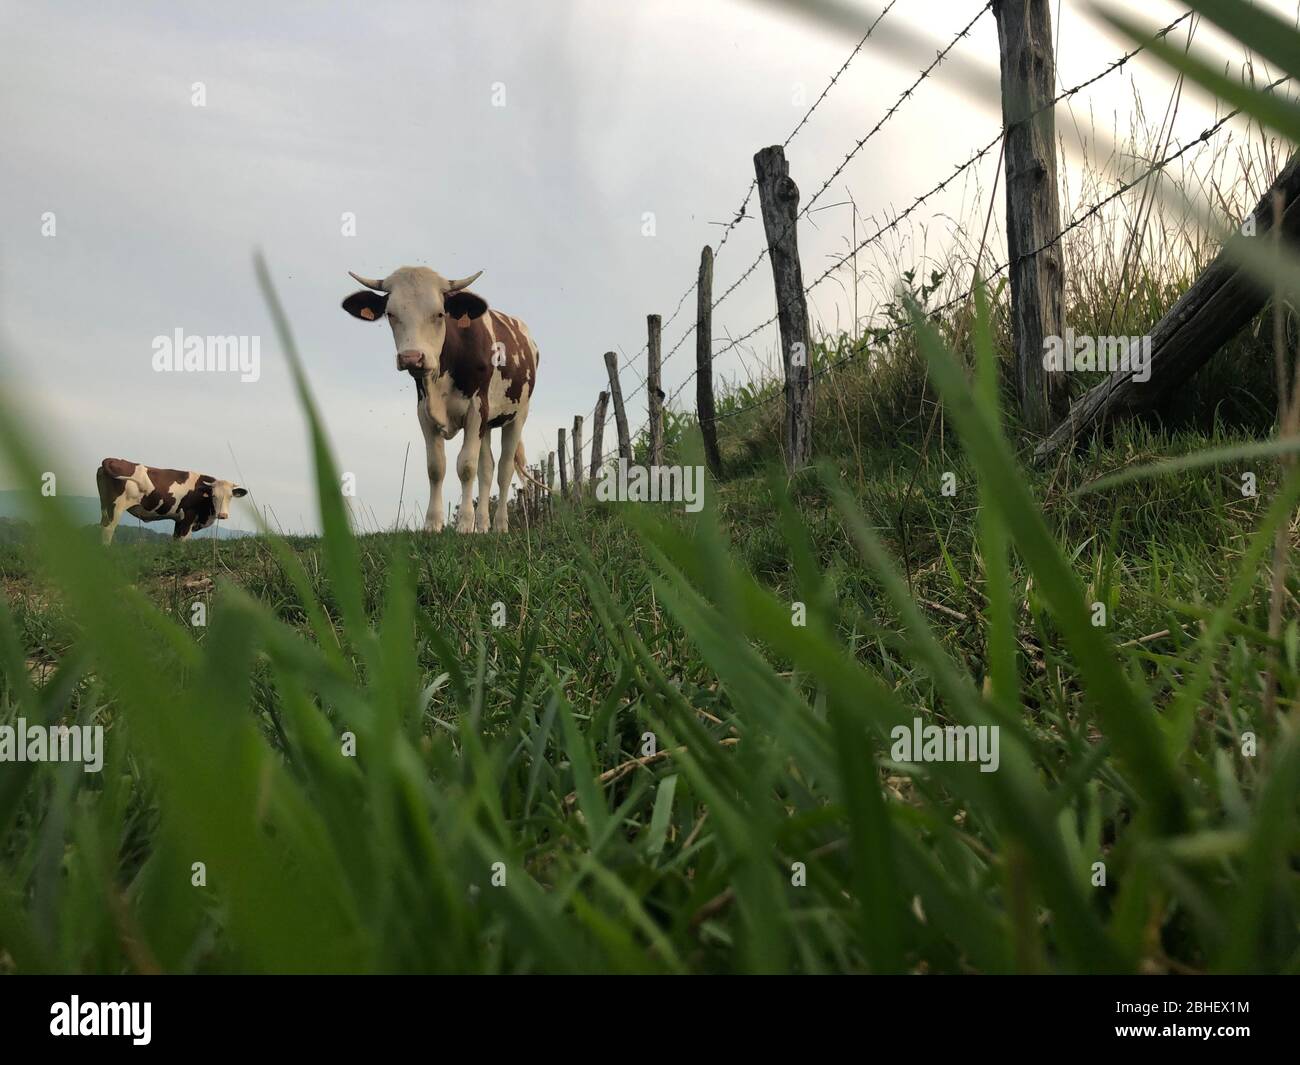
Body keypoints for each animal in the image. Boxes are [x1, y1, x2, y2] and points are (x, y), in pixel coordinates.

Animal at [96, 458, 247, 544]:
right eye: (214, 495)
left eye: (230, 496)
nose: (223, 515)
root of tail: (113, 460)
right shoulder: (188, 518)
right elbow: (183, 542)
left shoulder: (179, 521)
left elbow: (175, 541)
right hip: (115, 507)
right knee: (108, 530)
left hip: (104, 506)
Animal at [341, 266, 546, 534]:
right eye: (390, 314)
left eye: (439, 314)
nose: (411, 357)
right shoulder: (424, 411)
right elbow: (436, 467)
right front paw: (433, 523)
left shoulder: (476, 409)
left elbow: (466, 466)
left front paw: (465, 525)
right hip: (487, 424)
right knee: (487, 469)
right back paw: (483, 525)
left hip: (516, 416)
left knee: (504, 469)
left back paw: (500, 525)